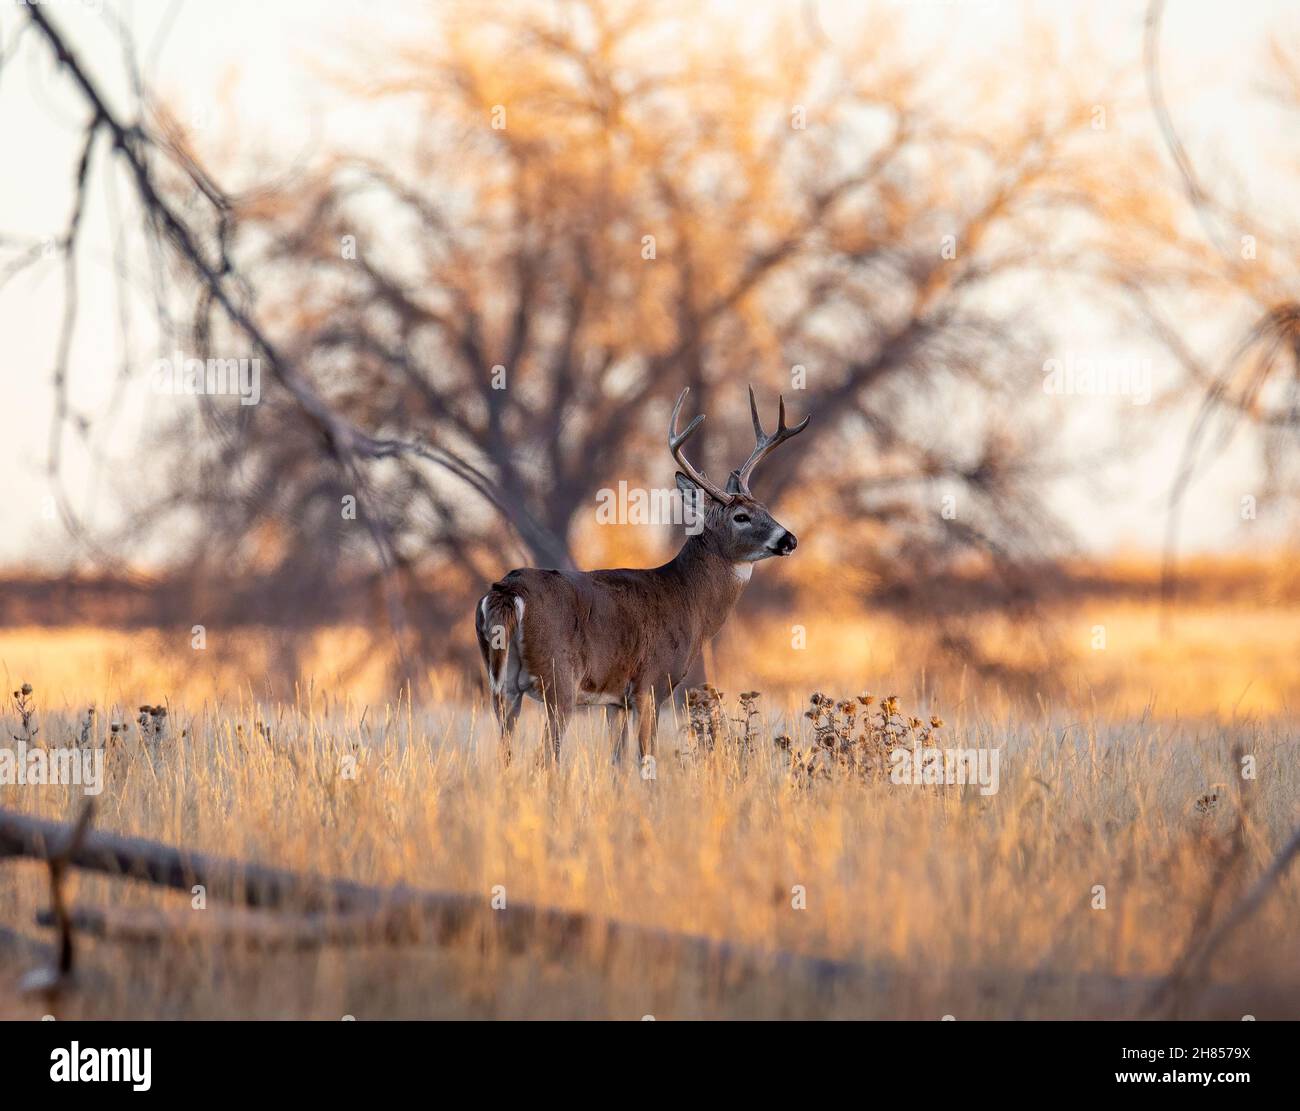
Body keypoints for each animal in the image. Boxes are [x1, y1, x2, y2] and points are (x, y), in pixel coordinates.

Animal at [475, 386, 809, 766]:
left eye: (765, 508)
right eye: (741, 516)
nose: (789, 539)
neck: (687, 599)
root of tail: (507, 589)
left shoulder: (615, 700)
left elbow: (618, 762)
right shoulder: (651, 684)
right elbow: (646, 758)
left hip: (502, 687)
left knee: (506, 755)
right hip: (559, 681)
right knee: (546, 757)